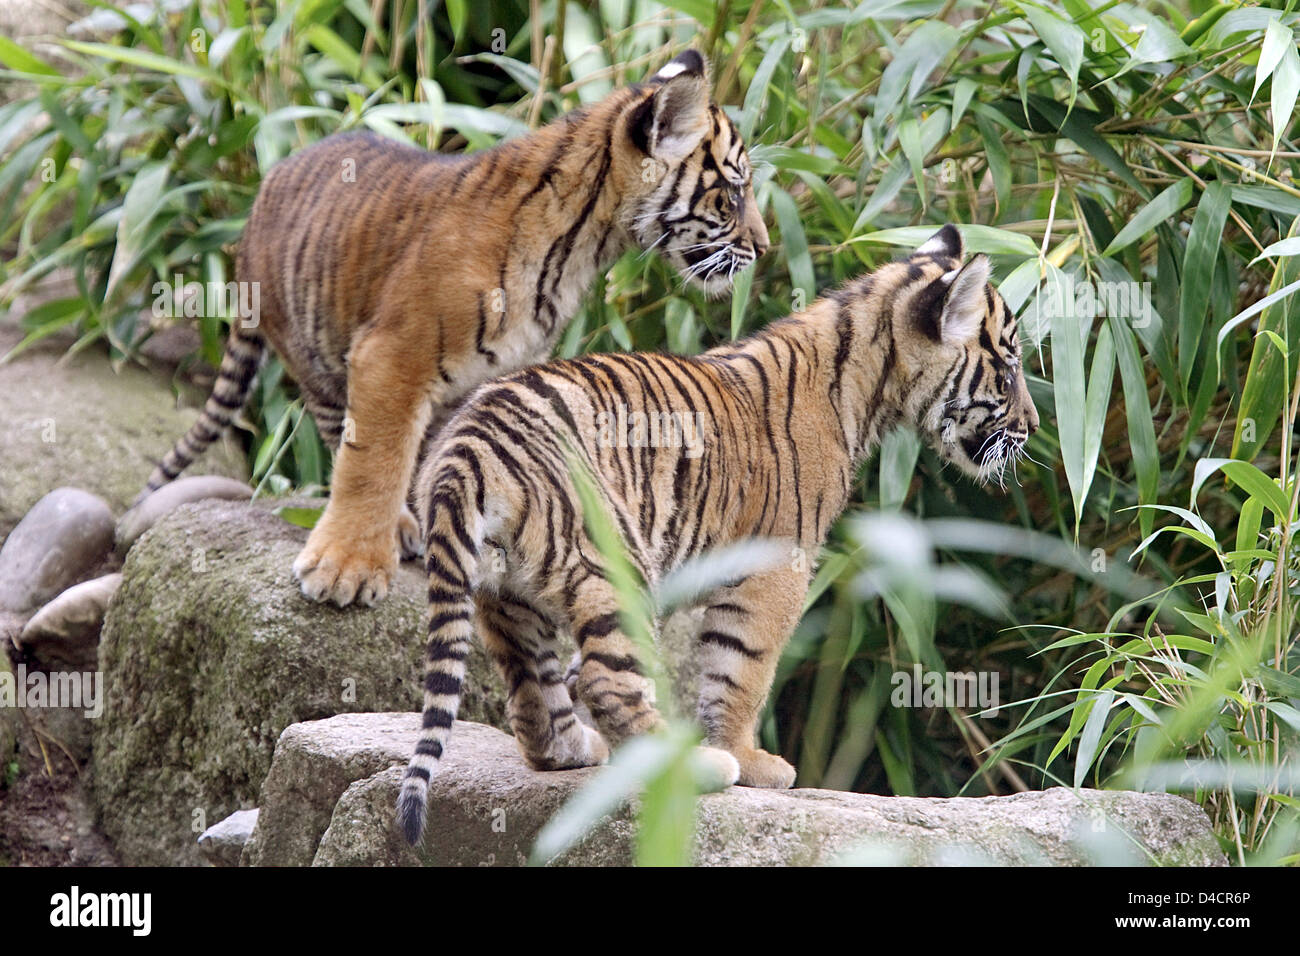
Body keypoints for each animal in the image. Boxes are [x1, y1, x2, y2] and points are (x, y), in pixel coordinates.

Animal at [137, 49, 768, 607]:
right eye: (734, 191)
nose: (764, 249)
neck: (585, 241)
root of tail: (258, 198)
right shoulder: (390, 356)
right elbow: (372, 464)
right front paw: (347, 569)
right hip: (314, 356)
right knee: (343, 437)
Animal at [395, 224, 1040, 844]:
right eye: (1008, 371)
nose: (1034, 427)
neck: (866, 380)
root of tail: (467, 447)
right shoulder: (776, 565)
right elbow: (742, 667)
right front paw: (748, 759)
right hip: (610, 560)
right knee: (609, 679)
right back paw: (697, 767)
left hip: (505, 595)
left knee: (532, 694)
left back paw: (574, 751)